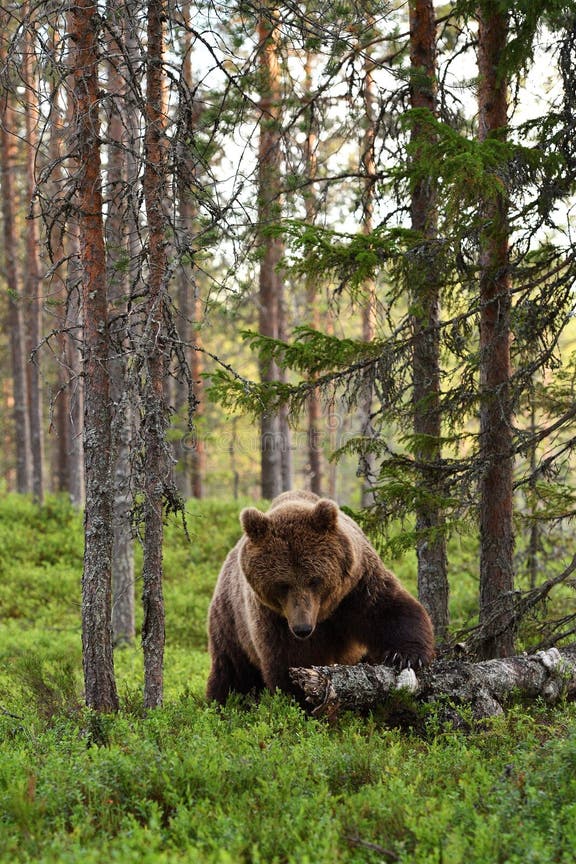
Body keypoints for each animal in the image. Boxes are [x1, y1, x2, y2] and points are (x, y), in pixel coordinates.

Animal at [206, 490, 435, 705]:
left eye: (314, 580)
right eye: (282, 585)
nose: (302, 628)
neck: (324, 614)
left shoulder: (356, 587)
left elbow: (389, 610)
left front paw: (405, 656)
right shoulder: (273, 618)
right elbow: (289, 659)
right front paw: (303, 694)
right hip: (231, 624)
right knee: (231, 674)